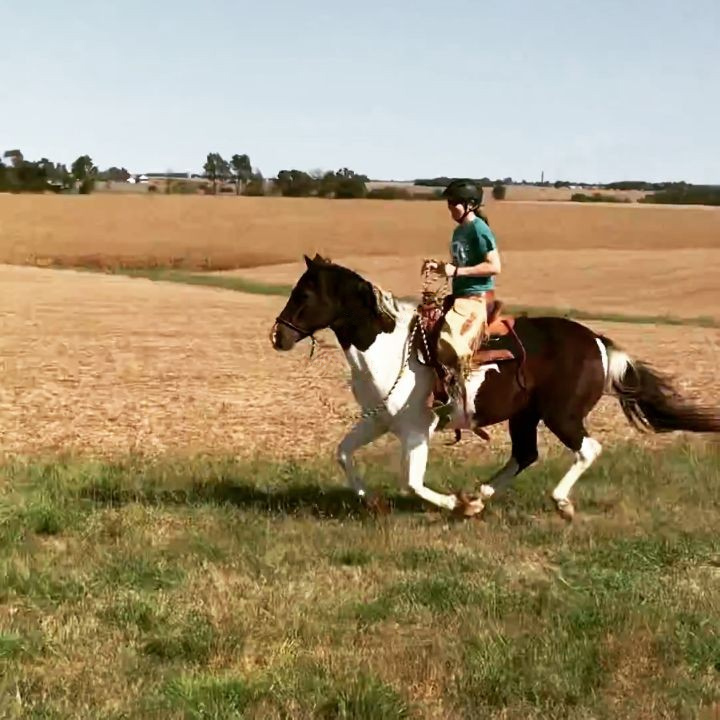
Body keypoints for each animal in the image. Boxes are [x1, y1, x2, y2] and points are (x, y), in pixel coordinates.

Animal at [270, 254, 720, 519]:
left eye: (304, 294)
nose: (278, 336)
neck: (389, 345)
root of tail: (596, 342)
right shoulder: (378, 421)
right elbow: (343, 453)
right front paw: (373, 501)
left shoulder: (416, 429)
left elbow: (412, 481)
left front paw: (455, 504)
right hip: (526, 417)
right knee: (526, 454)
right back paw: (482, 493)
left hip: (561, 415)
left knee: (587, 449)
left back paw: (558, 503)